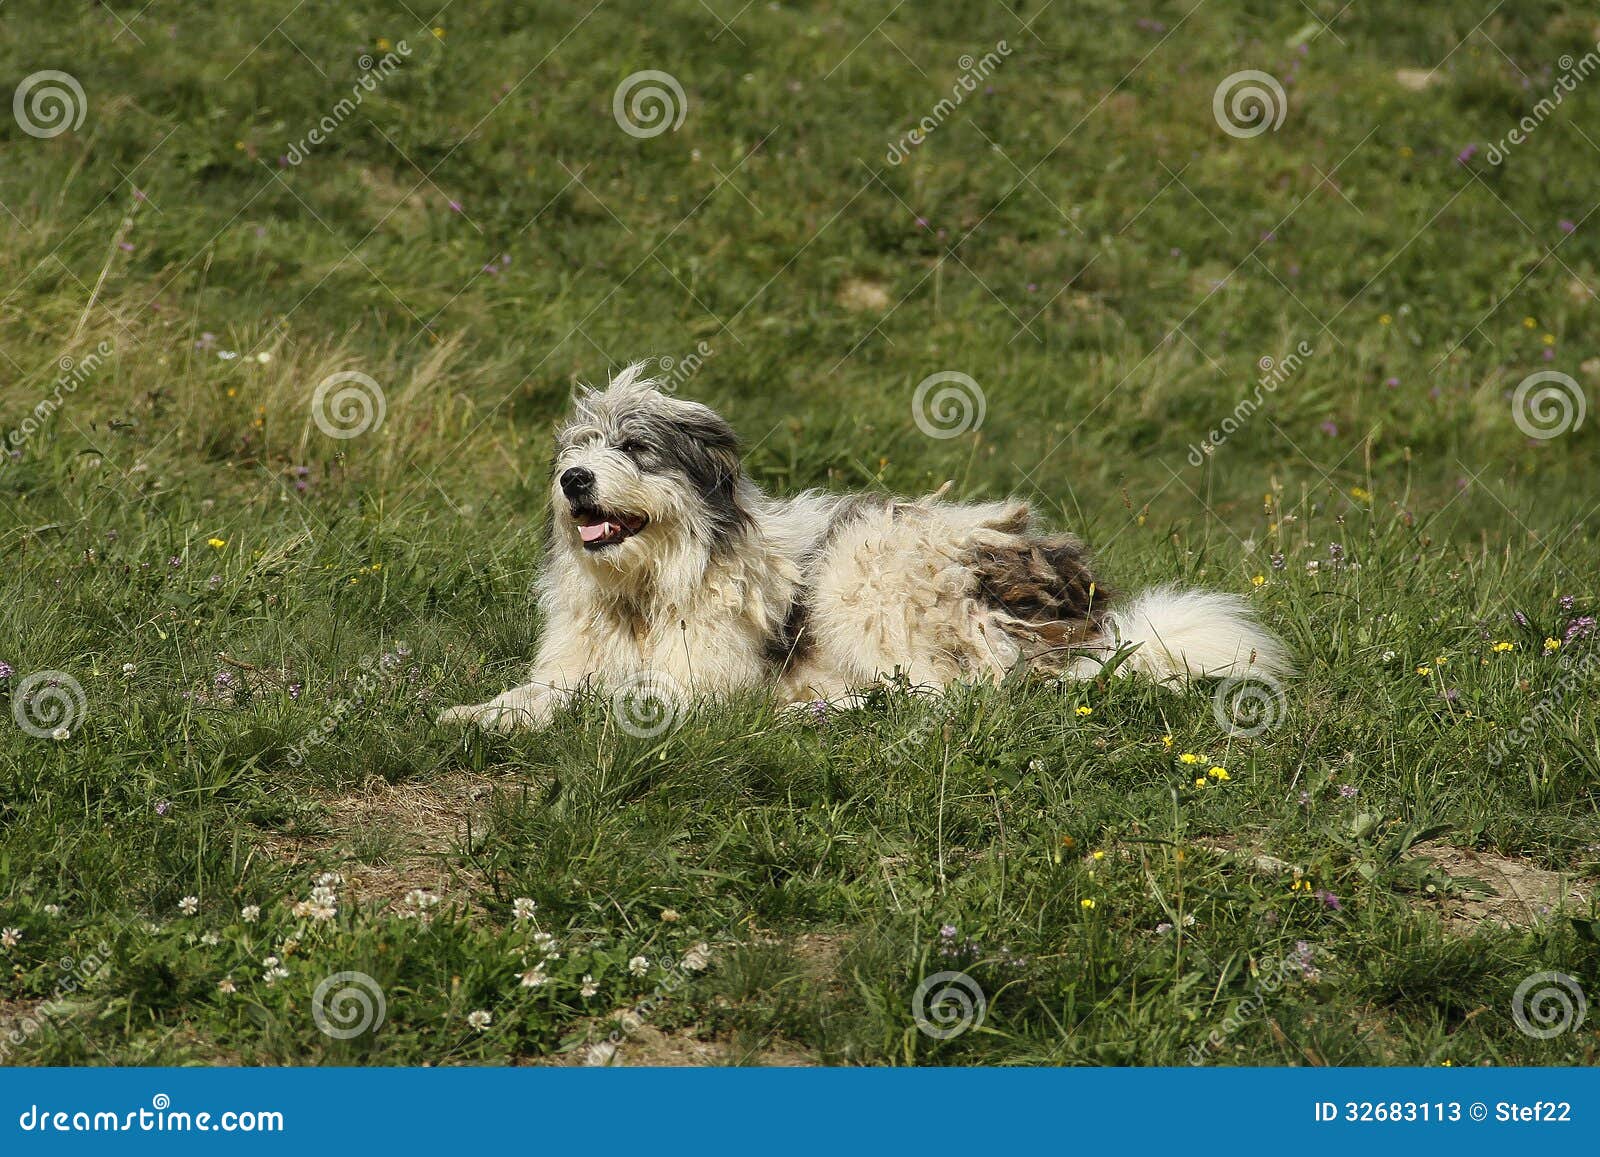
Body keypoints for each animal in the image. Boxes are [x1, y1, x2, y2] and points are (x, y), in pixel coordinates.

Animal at [438, 364, 1286, 732]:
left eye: (635, 447)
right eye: (575, 447)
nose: (574, 479)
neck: (647, 590)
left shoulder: (699, 679)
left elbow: (615, 697)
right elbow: (539, 690)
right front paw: (480, 711)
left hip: (867, 577)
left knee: (952, 694)